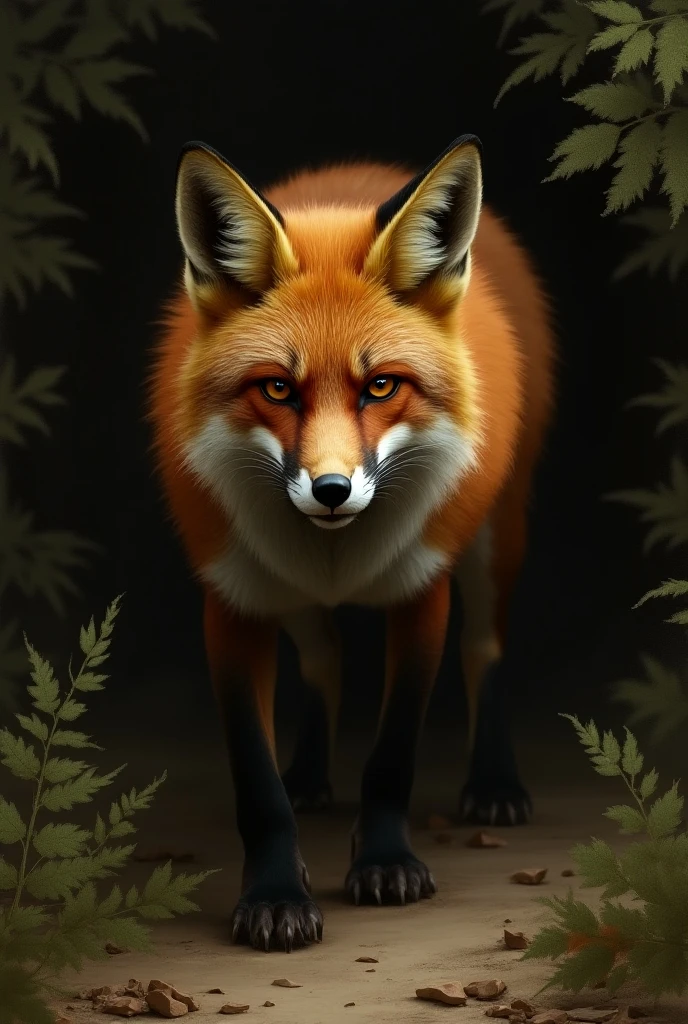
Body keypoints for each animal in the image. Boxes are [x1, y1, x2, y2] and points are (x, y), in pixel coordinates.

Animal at [148, 134, 554, 953]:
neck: (339, 558)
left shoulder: (423, 592)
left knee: (485, 651)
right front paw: (275, 896)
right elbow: (256, 784)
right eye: (277, 388)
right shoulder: (231, 602)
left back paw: (494, 784)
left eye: (380, 387)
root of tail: (366, 171)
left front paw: (386, 865)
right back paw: (308, 776)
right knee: (326, 655)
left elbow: (392, 757)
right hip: (287, 594)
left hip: (496, 543)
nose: (332, 490)